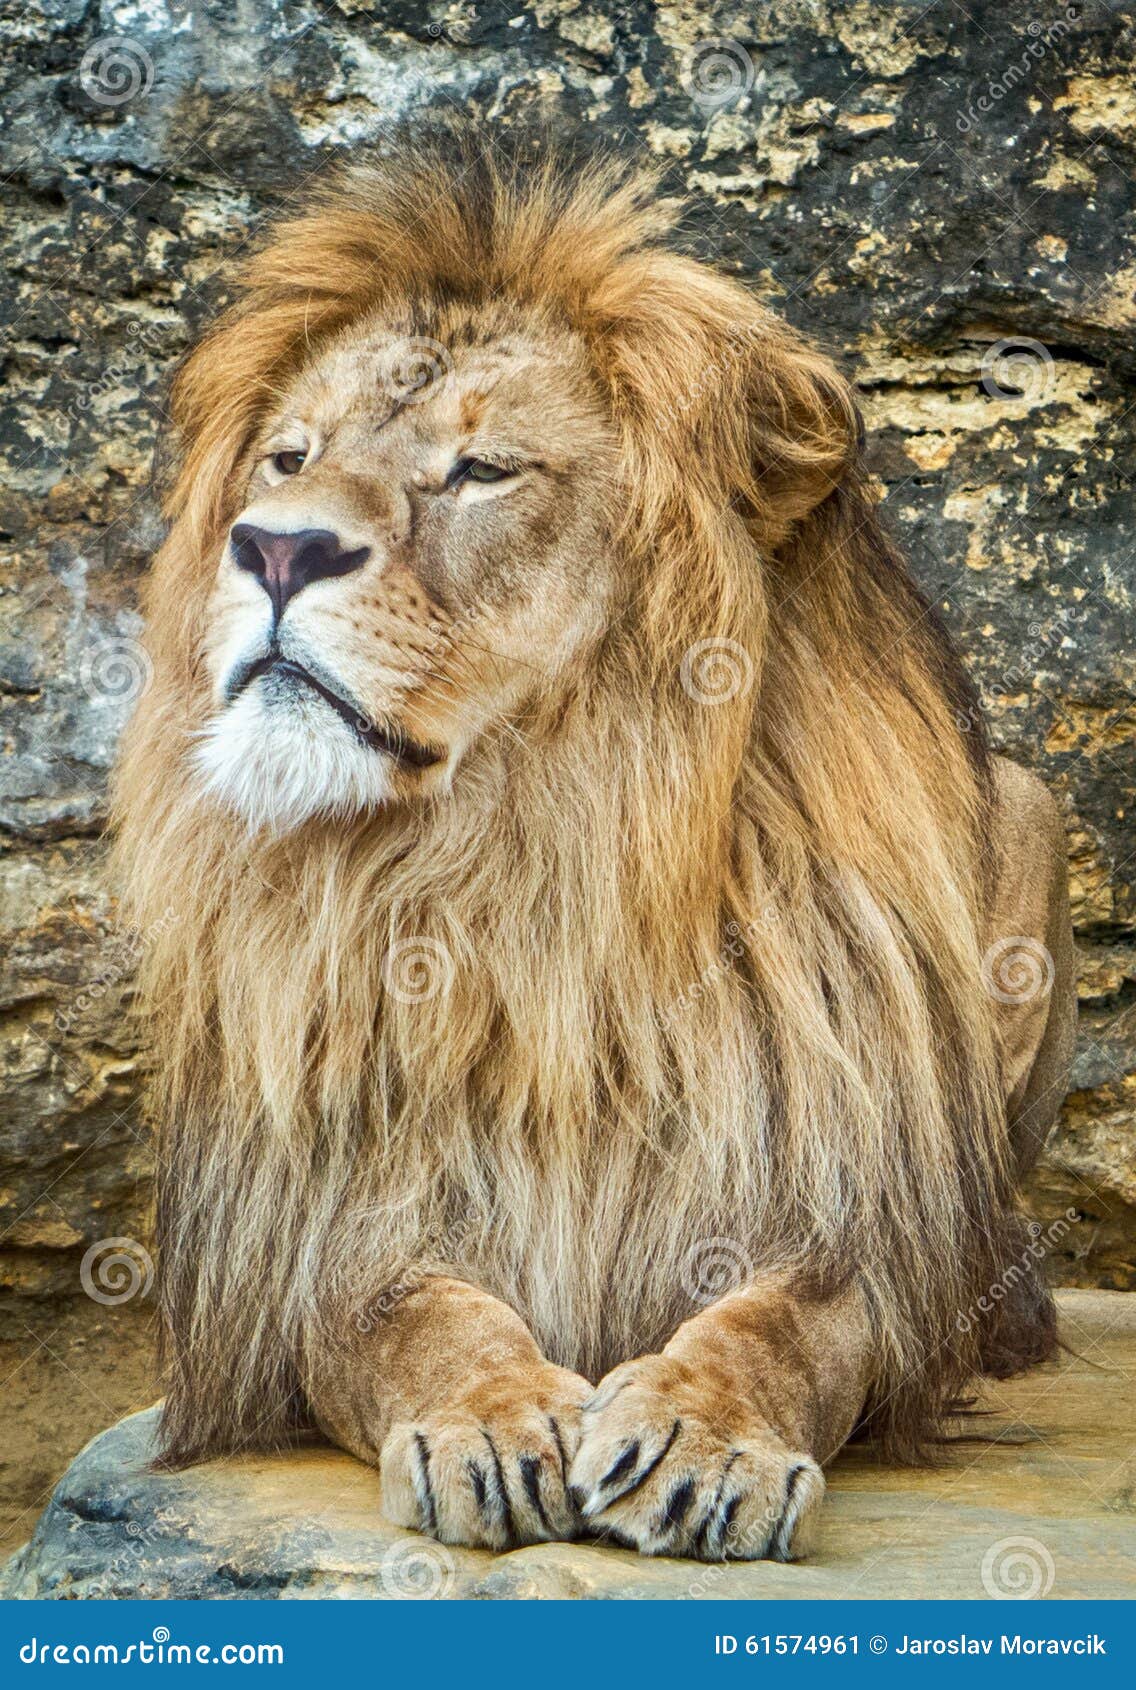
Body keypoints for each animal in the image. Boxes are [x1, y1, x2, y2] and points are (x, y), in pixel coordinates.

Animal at [112, 122, 1075, 1563]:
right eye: (287, 458)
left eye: (481, 469)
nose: (275, 549)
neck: (525, 850)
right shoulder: (308, 1249)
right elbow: (411, 1317)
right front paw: (490, 1417)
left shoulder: (853, 1227)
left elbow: (785, 1324)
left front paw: (702, 1436)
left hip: (1028, 806)